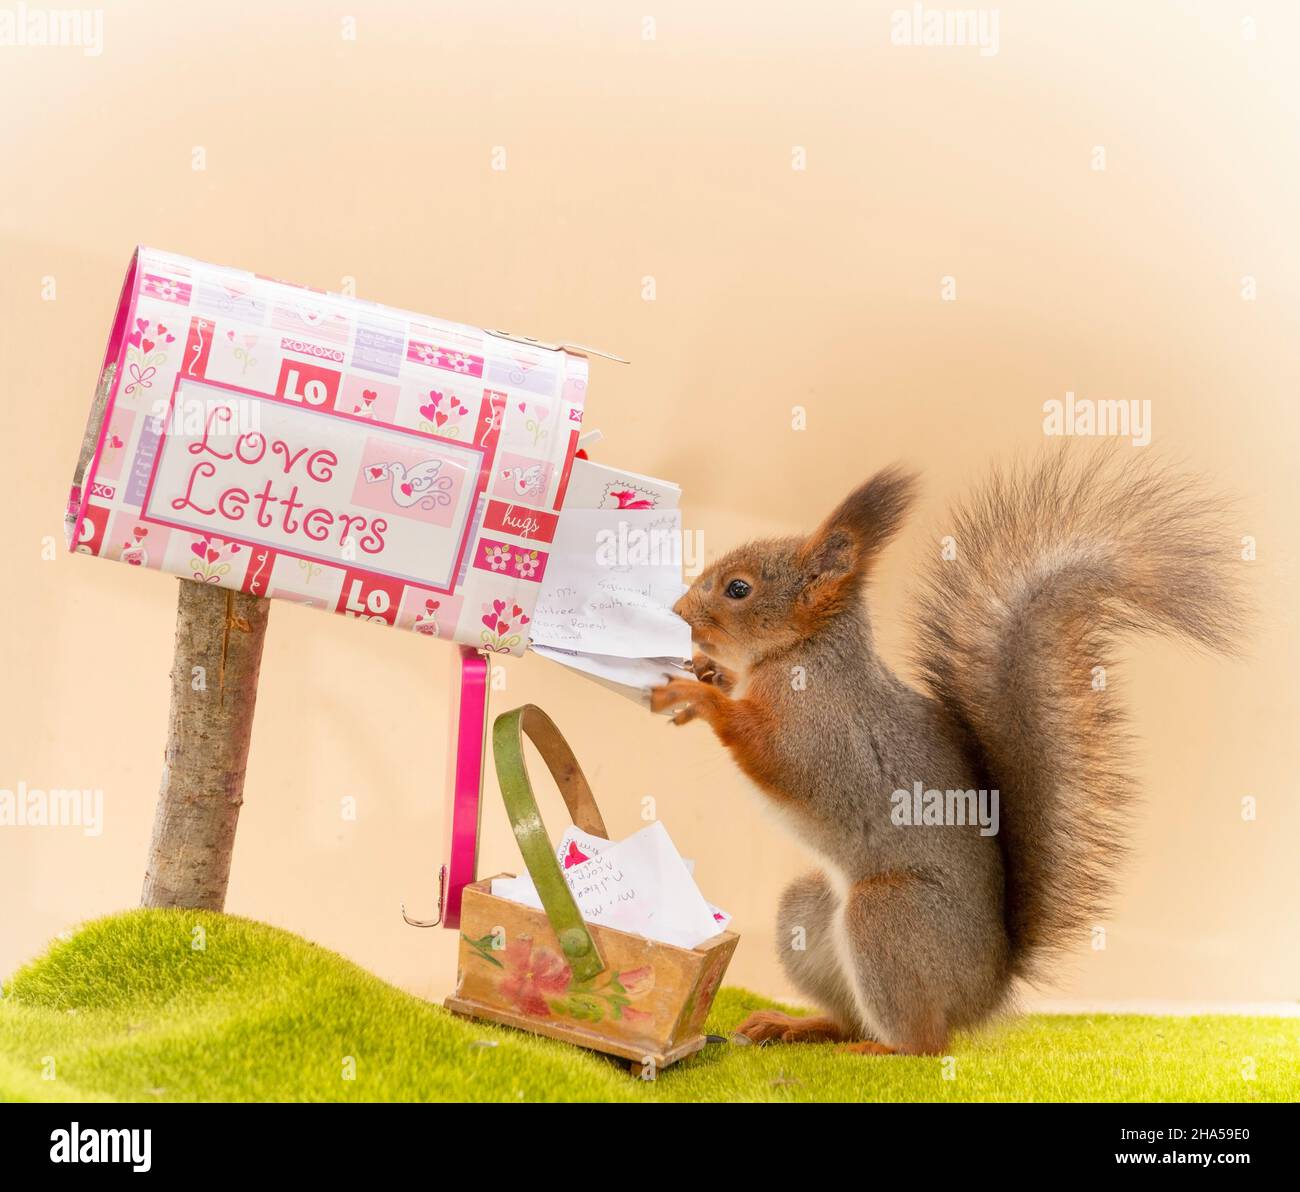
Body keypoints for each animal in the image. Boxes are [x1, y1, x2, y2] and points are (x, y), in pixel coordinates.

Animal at [650, 449, 1242, 1056]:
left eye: (737, 589)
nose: (676, 611)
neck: (802, 652)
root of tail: (987, 992)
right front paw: (709, 673)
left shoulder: (822, 732)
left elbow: (772, 755)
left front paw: (699, 696)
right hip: (808, 913)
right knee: (849, 1017)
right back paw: (796, 1025)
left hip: (887, 915)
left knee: (925, 1043)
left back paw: (879, 1050)